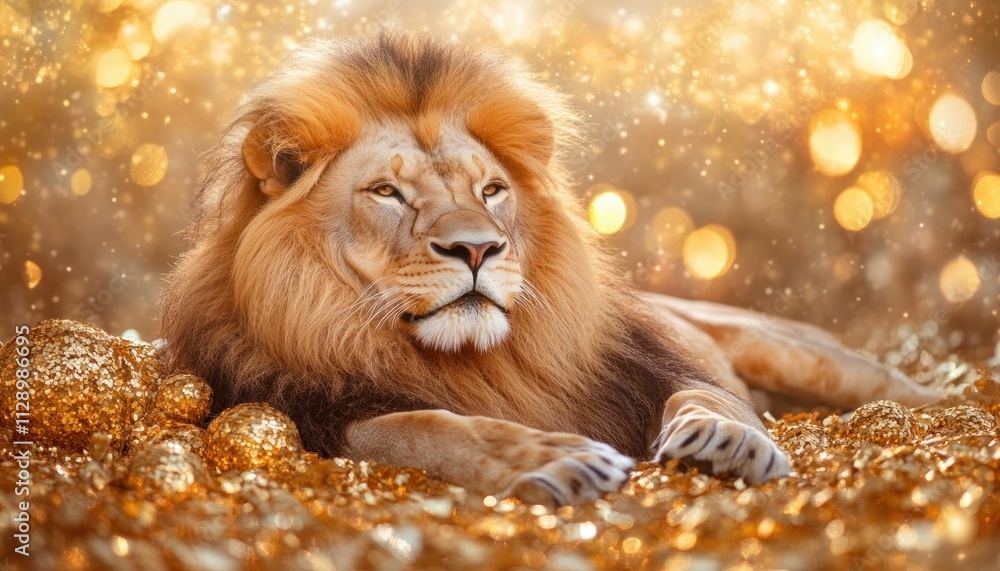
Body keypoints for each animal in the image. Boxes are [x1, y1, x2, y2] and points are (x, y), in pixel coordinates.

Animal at [159, 32, 940, 507]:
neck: (471, 361)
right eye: (386, 192)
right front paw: (550, 457)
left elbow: (709, 397)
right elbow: (426, 425)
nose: (478, 249)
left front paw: (728, 443)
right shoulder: (314, 411)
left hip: (816, 361)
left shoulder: (660, 370)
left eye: (491, 190)